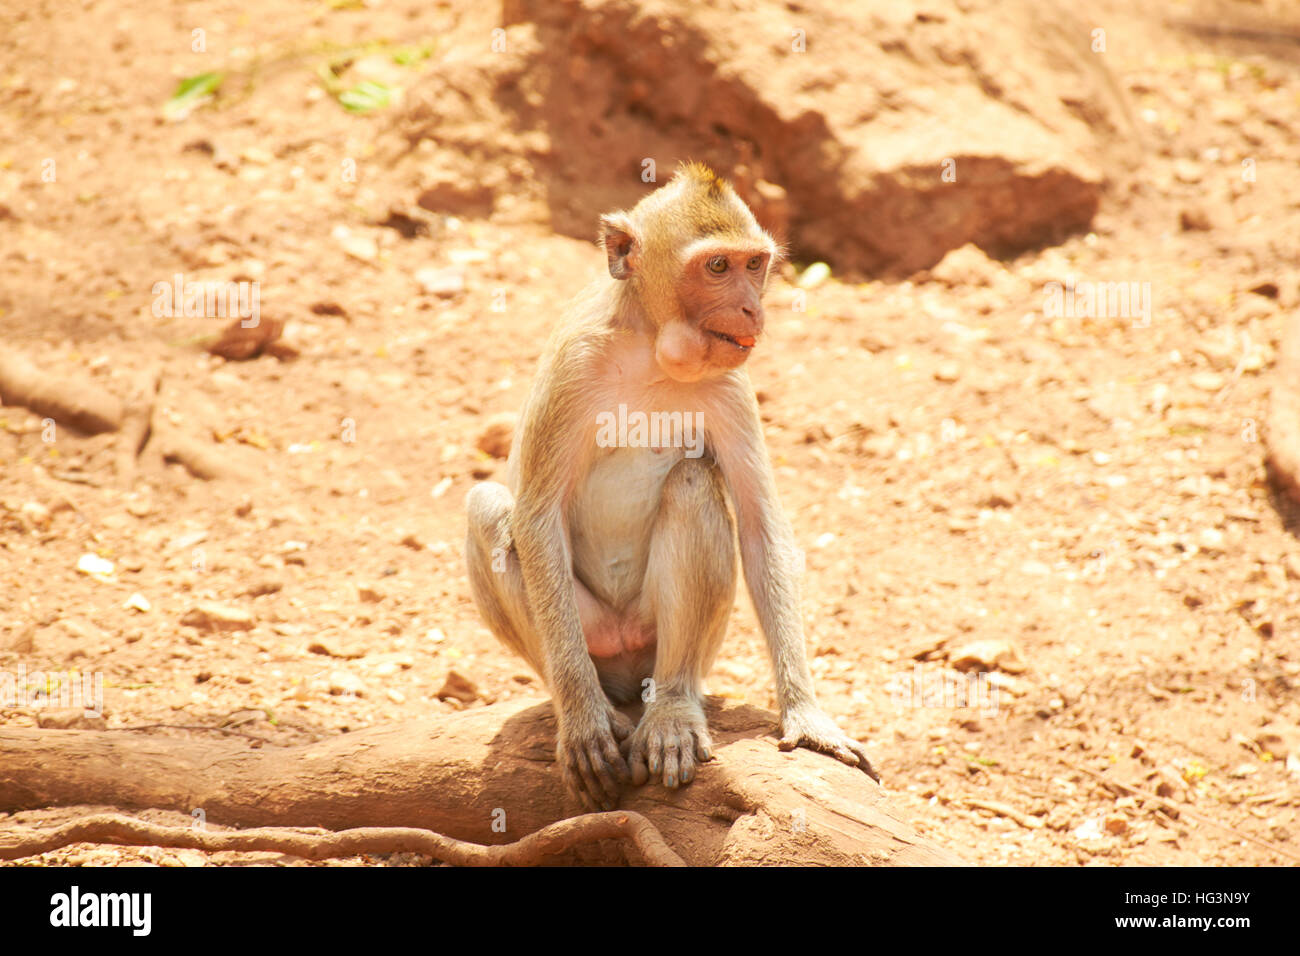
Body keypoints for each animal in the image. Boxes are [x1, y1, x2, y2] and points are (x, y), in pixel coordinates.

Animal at [465, 162, 878, 810]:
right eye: (717, 267)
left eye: (754, 264)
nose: (751, 311)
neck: (652, 348)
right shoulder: (574, 364)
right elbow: (535, 517)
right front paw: (582, 721)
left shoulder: (732, 384)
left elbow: (761, 527)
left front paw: (807, 714)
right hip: (594, 635)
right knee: (489, 509)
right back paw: (590, 703)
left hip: (663, 641)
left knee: (692, 482)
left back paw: (673, 708)